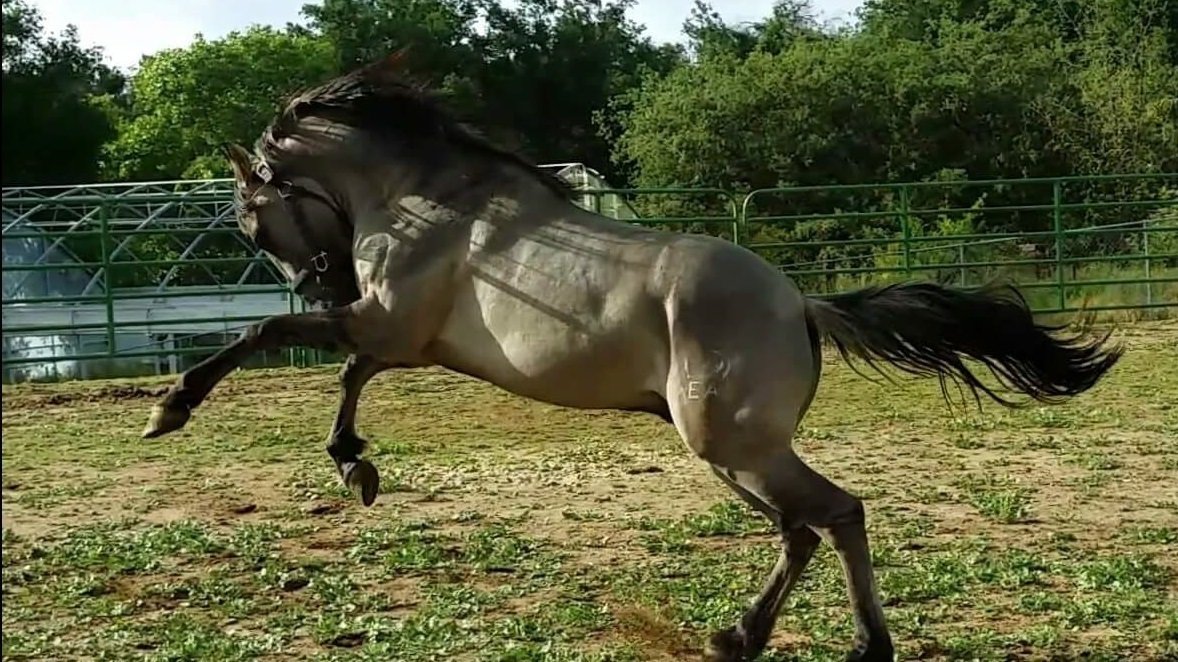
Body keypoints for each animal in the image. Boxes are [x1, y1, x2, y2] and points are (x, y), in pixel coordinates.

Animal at [141, 53, 1122, 661]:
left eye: (250, 219)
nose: (320, 277)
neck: (426, 202)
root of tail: (798, 302)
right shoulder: (398, 339)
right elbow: (343, 375)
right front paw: (356, 467)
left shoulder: (381, 323)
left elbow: (267, 337)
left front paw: (172, 408)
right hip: (733, 453)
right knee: (803, 528)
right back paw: (741, 637)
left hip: (733, 447)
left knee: (837, 515)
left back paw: (856, 644)